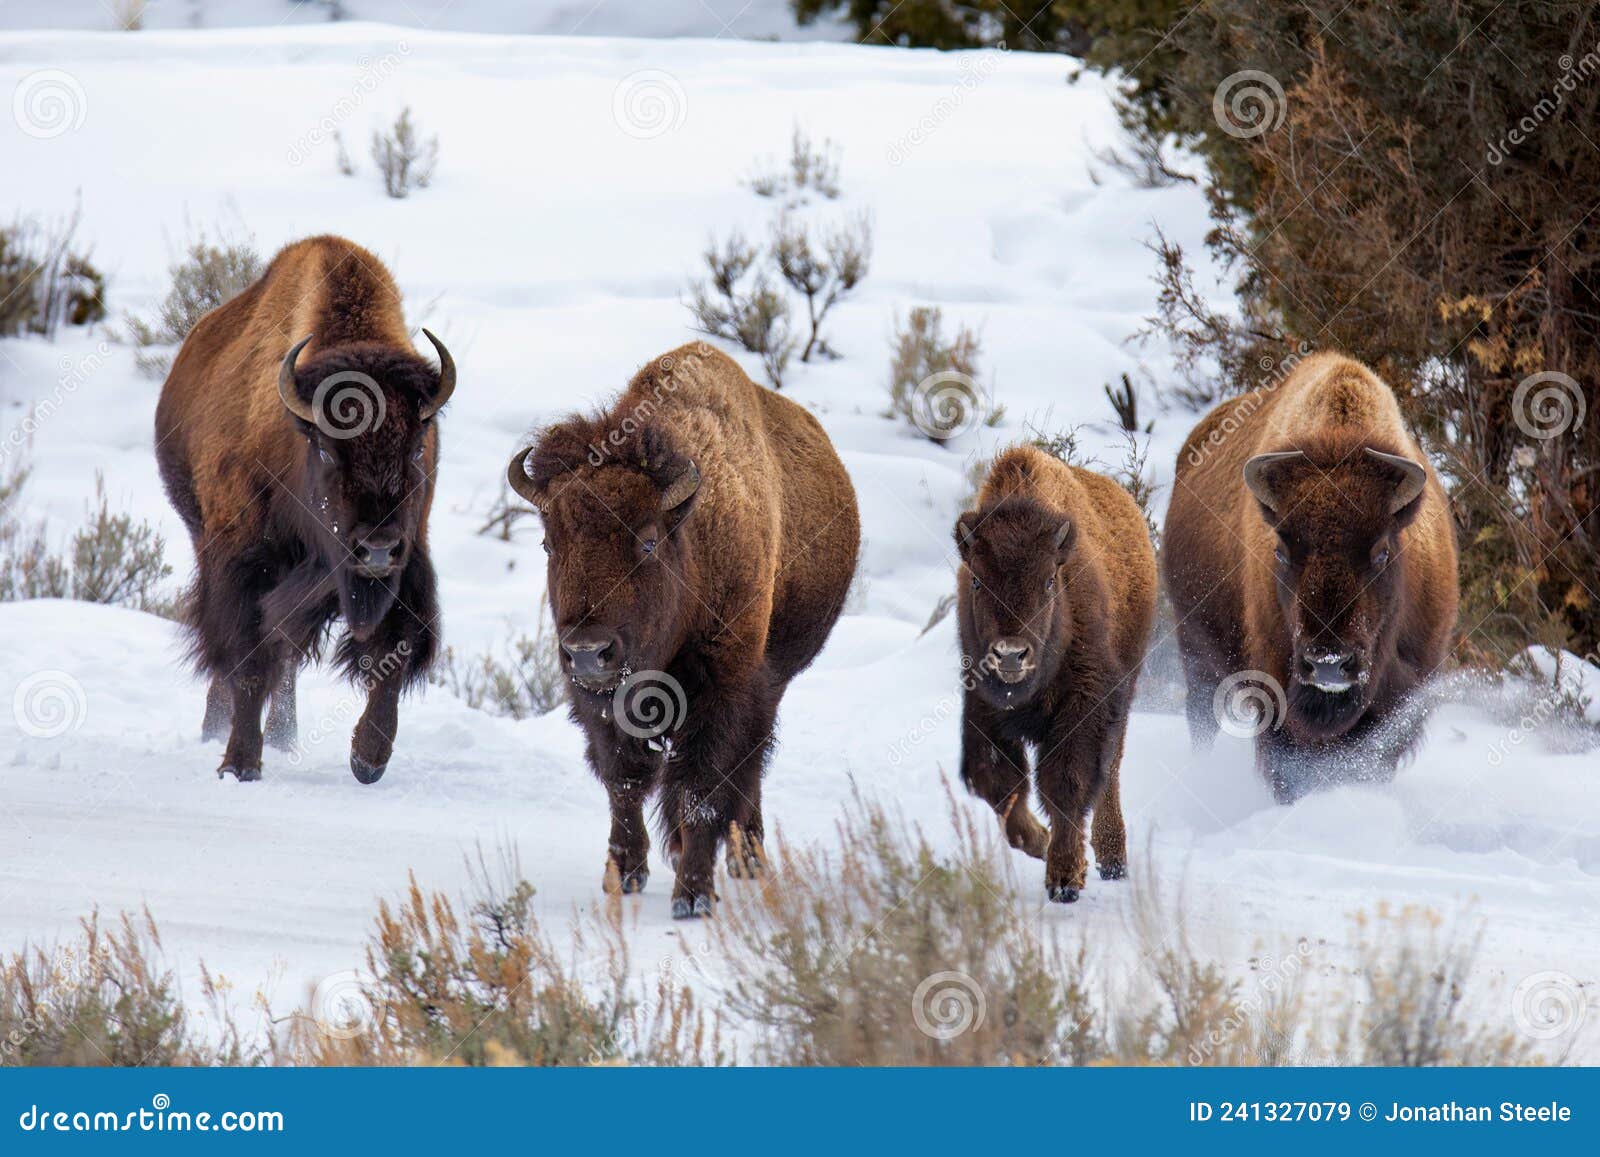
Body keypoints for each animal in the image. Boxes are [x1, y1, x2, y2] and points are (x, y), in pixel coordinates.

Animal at [154, 235, 454, 784]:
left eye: (417, 446)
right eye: (326, 449)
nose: (377, 549)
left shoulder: (408, 566)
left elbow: (392, 653)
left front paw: (368, 759)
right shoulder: (245, 566)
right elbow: (248, 660)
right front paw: (239, 764)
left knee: (288, 654)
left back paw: (283, 737)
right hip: (202, 536)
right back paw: (220, 728)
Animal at [505, 342, 860, 918]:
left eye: (647, 541)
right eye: (548, 544)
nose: (587, 653)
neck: (695, 541)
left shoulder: (723, 691)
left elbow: (701, 789)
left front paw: (692, 896)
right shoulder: (600, 705)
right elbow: (623, 782)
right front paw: (623, 874)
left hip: (770, 683)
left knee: (750, 765)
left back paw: (746, 858)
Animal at [955, 446, 1157, 902]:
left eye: (1050, 580)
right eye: (976, 581)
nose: (1010, 655)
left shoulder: (1085, 703)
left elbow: (1066, 783)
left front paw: (1065, 878)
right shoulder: (982, 705)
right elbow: (997, 782)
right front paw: (1040, 842)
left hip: (1127, 688)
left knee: (1110, 771)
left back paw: (1112, 859)